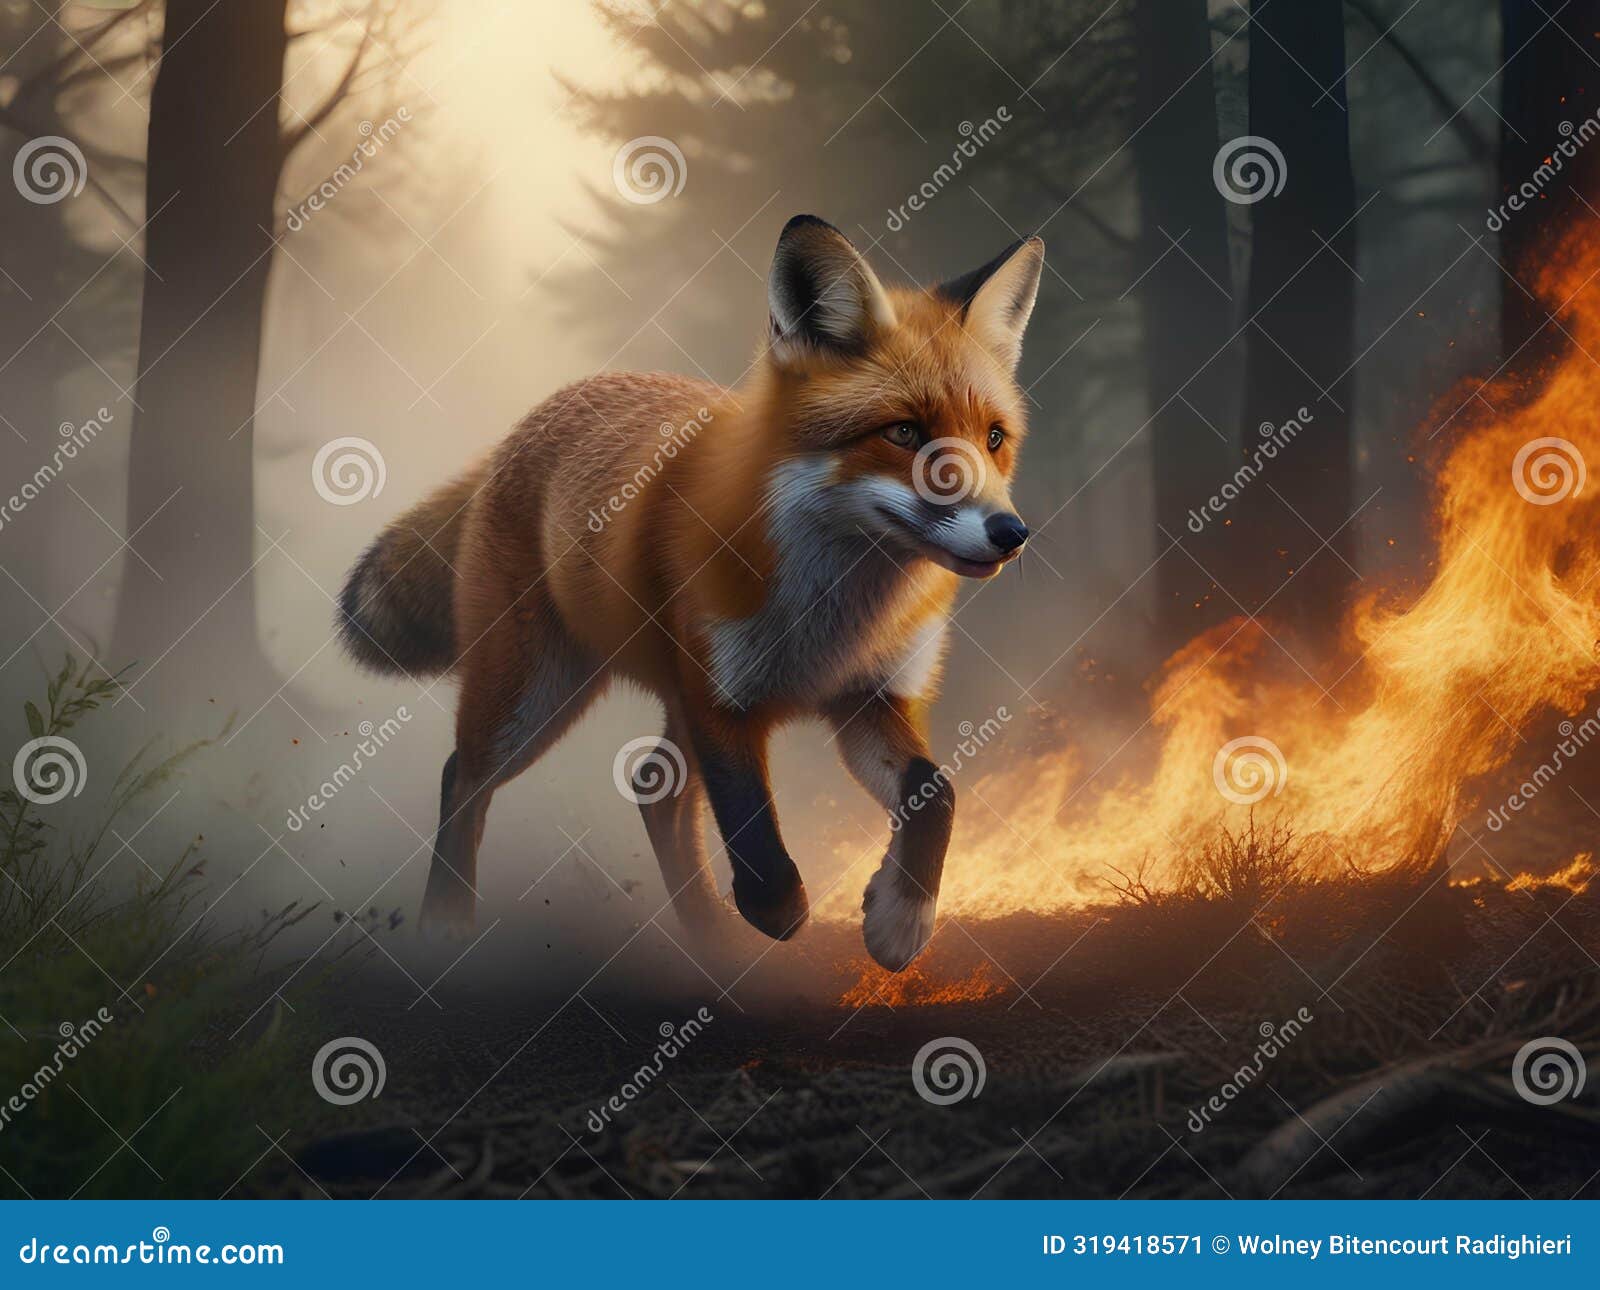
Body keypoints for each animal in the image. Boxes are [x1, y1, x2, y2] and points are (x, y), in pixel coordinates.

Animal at [336, 215, 1044, 971]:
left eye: (993, 438)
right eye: (905, 432)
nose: (1011, 533)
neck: (837, 616)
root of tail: (531, 420)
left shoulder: (869, 700)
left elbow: (935, 795)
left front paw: (899, 919)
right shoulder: (722, 700)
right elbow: (759, 845)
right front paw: (776, 914)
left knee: (654, 796)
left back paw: (709, 944)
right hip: (533, 695)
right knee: (462, 780)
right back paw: (445, 925)